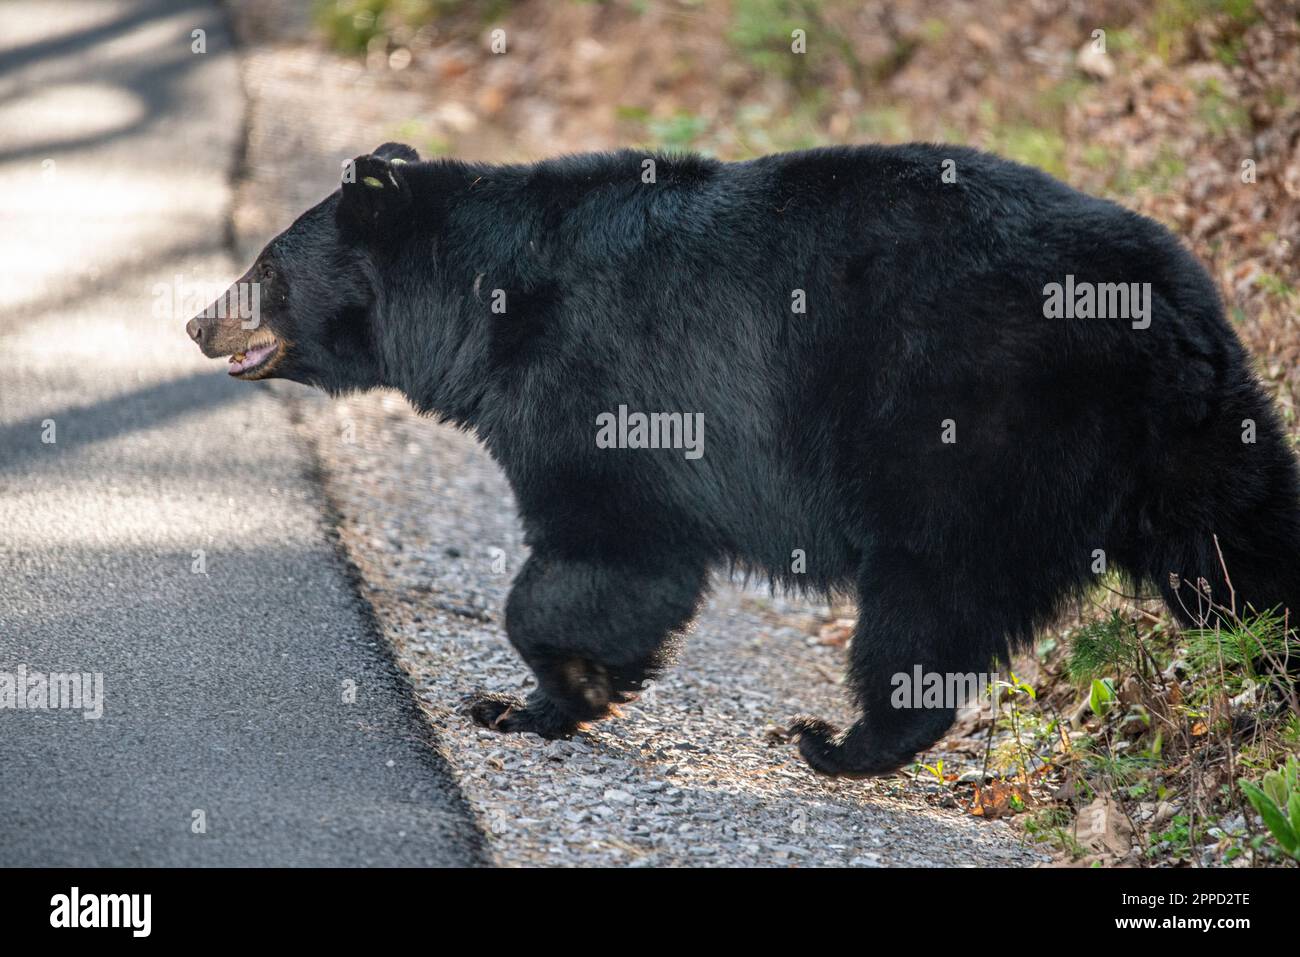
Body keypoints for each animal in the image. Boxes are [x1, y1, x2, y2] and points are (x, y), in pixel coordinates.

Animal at [188, 141, 1300, 777]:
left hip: (963, 435)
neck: (486, 308)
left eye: (265, 265)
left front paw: (539, 692)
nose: (198, 319)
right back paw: (1273, 673)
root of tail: (1164, 308)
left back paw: (841, 744)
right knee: (1242, 558)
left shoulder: (600, 386)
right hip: (1204, 437)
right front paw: (545, 699)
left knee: (926, 608)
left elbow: (601, 551)